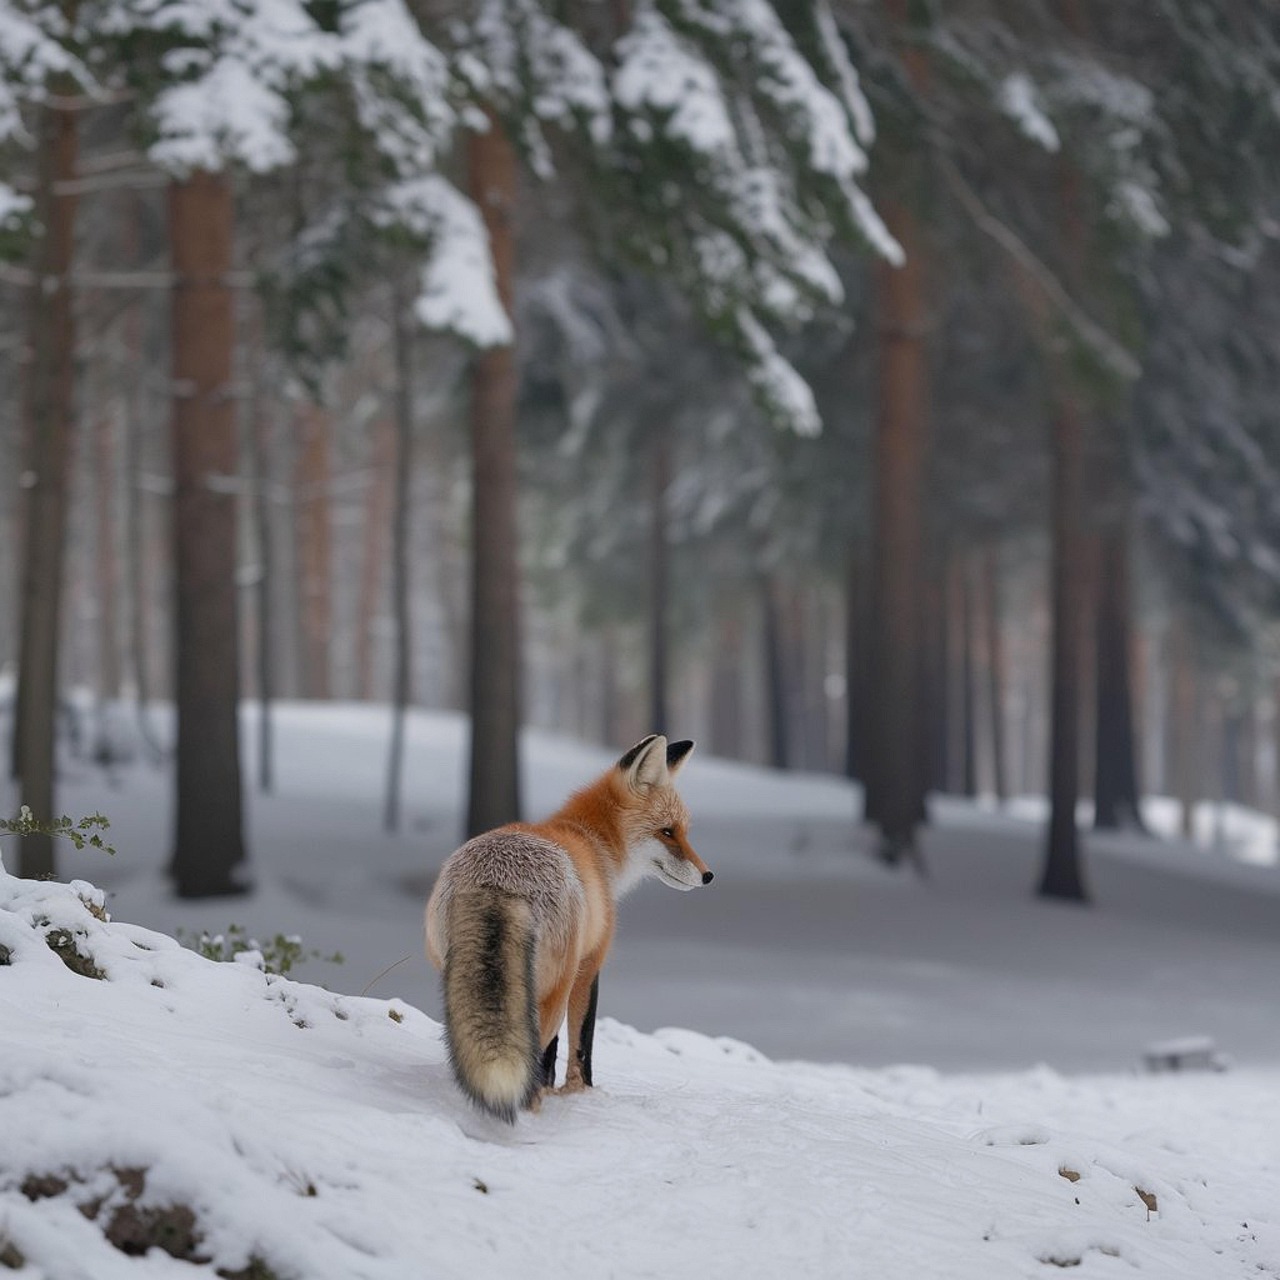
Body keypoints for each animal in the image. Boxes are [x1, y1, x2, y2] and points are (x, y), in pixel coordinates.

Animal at [425, 733, 712, 1122]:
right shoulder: (588, 965)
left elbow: (553, 1055)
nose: (707, 876)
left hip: (461, 983)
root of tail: (497, 880)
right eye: (667, 832)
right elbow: (581, 1045)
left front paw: (553, 1091)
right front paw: (581, 1094)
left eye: (683, 831)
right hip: (551, 992)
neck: (592, 842)